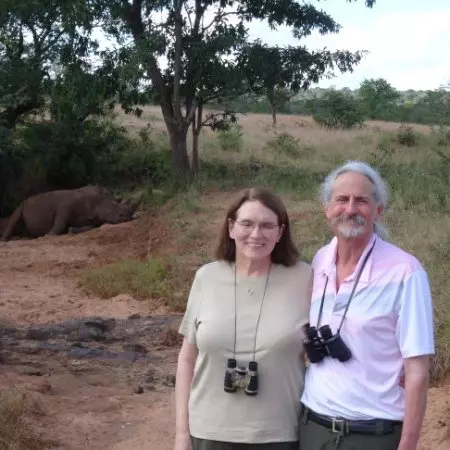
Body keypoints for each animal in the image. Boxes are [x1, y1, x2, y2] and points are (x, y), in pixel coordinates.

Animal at [0, 185, 141, 241]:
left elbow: (88, 227)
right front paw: (48, 235)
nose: (126, 217)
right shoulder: (64, 207)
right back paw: (5, 240)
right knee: (14, 216)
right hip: (22, 203)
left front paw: (72, 230)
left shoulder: (92, 219)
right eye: (114, 205)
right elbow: (60, 222)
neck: (97, 201)